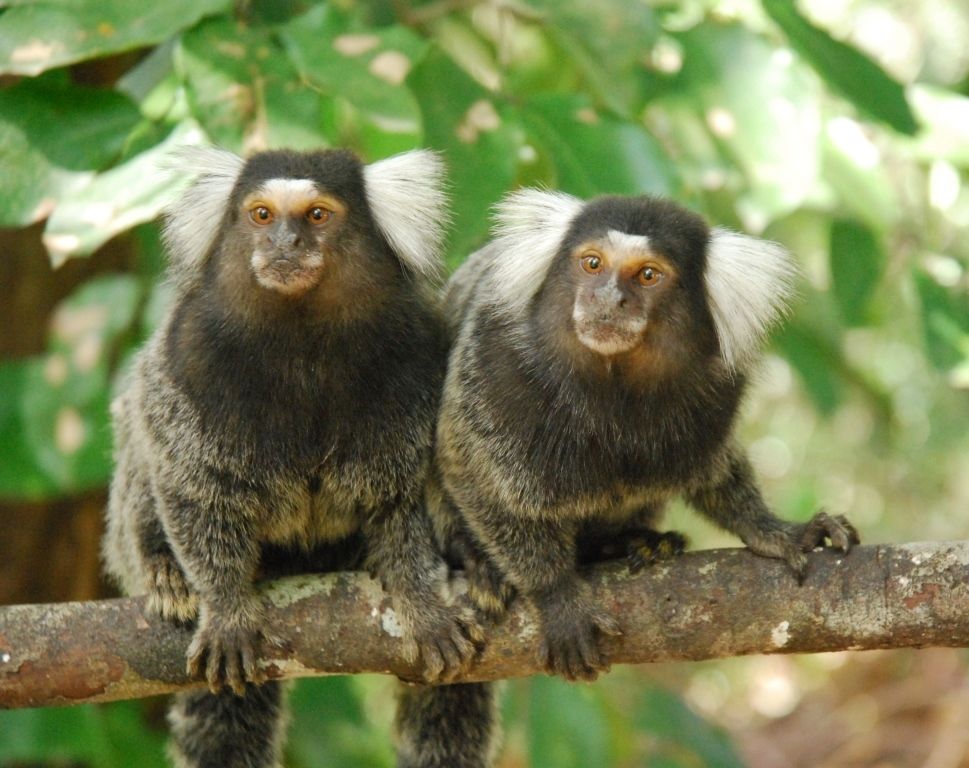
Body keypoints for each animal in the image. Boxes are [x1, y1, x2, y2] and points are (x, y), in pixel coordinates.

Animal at [102, 145, 481, 768]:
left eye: (317, 215)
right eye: (261, 214)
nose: (284, 241)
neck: (301, 343)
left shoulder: (419, 361)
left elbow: (407, 499)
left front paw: (421, 601)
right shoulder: (187, 358)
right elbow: (191, 484)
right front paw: (225, 606)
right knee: (137, 429)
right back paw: (164, 572)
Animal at [395, 189, 859, 767]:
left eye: (648, 275)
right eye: (593, 264)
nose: (609, 299)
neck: (612, 382)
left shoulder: (715, 389)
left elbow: (716, 471)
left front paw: (774, 532)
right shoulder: (491, 361)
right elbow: (466, 465)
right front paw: (556, 592)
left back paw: (630, 543)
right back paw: (479, 562)